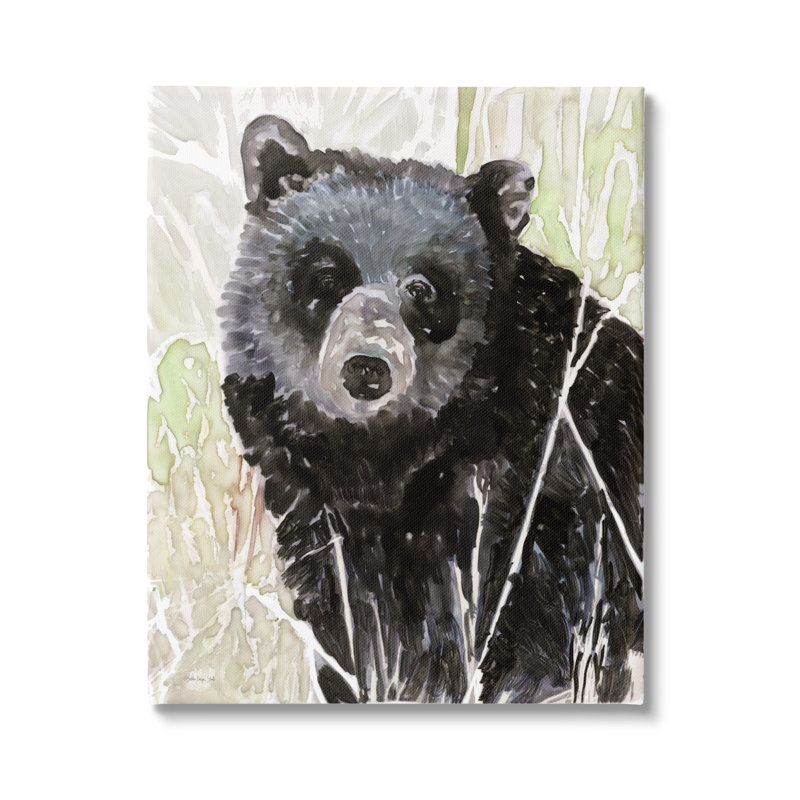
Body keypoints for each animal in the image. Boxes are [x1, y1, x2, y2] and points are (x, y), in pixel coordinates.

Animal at [219, 115, 643, 703]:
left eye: (421, 288)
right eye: (327, 277)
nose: (367, 368)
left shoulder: (538, 503)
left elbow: (530, 641)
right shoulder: (314, 514)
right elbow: (347, 625)